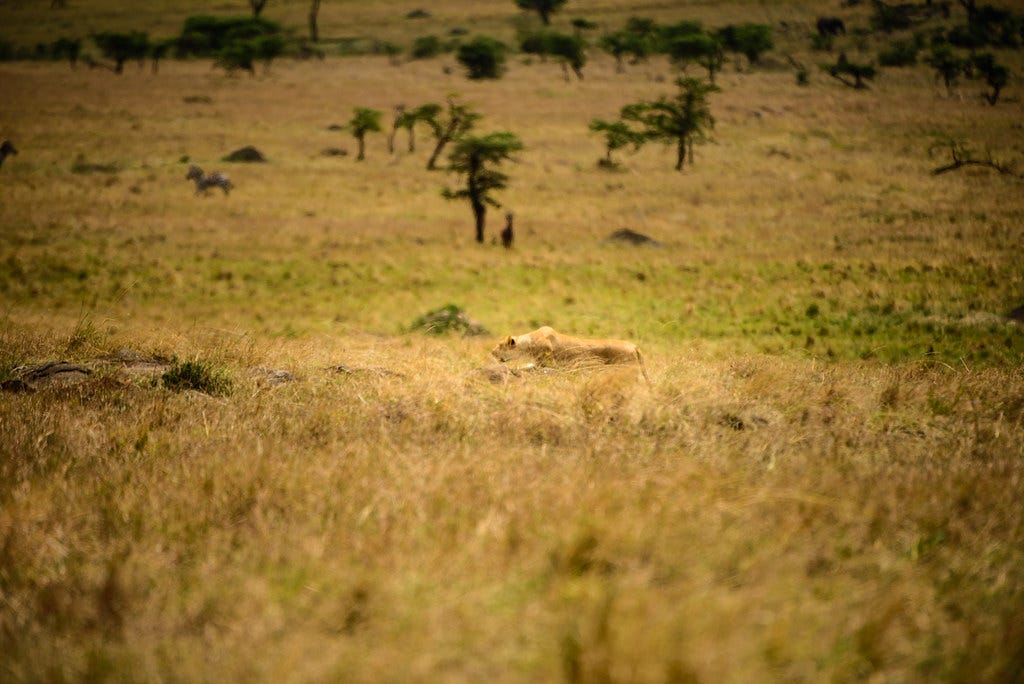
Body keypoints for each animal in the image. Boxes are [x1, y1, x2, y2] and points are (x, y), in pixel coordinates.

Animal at [491, 326, 651, 384]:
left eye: (500, 345)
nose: (491, 352)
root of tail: (635, 346)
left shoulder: (549, 364)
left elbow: (527, 368)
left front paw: (515, 370)